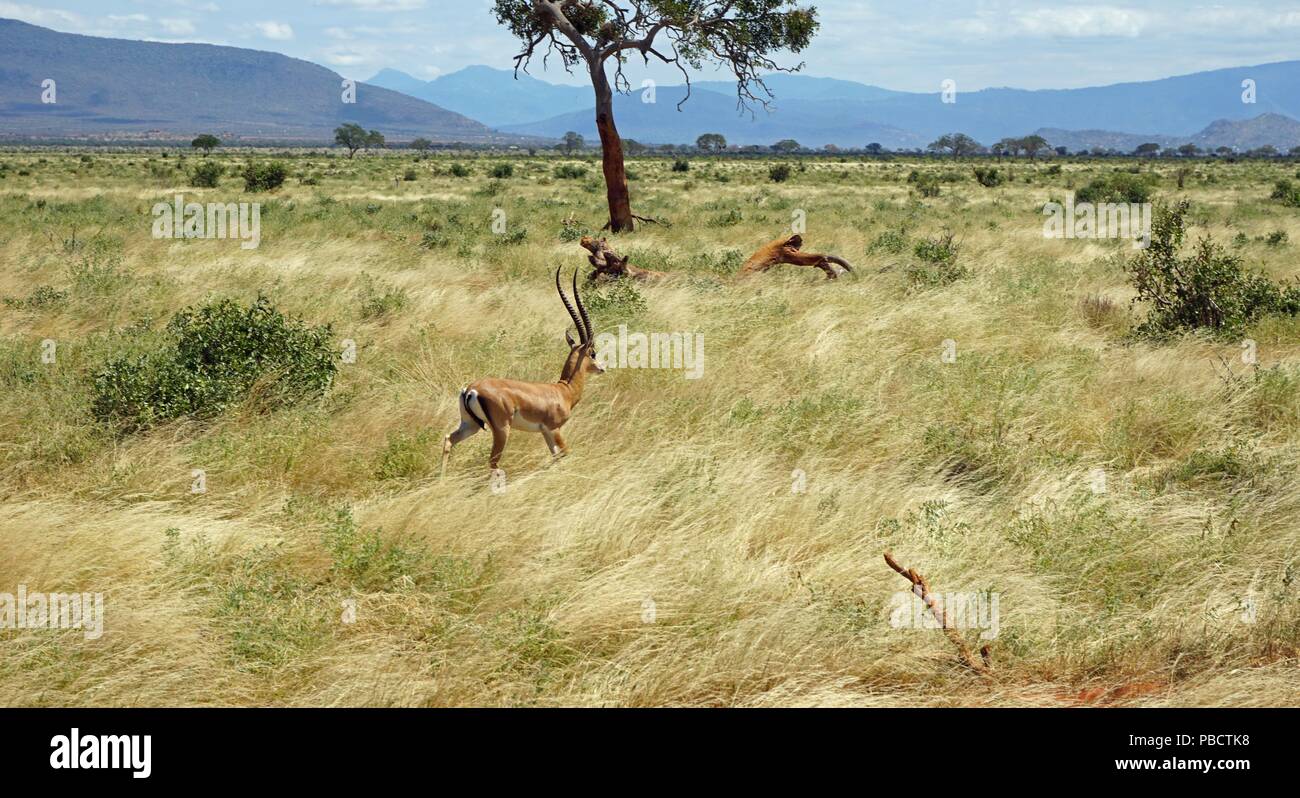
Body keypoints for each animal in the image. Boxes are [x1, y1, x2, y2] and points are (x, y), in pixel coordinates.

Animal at [441, 267, 604, 476]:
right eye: (593, 352)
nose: (602, 368)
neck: (563, 391)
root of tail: (471, 389)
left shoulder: (545, 432)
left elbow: (555, 457)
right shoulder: (554, 429)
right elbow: (566, 453)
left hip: (470, 425)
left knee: (449, 440)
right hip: (502, 430)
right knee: (493, 462)